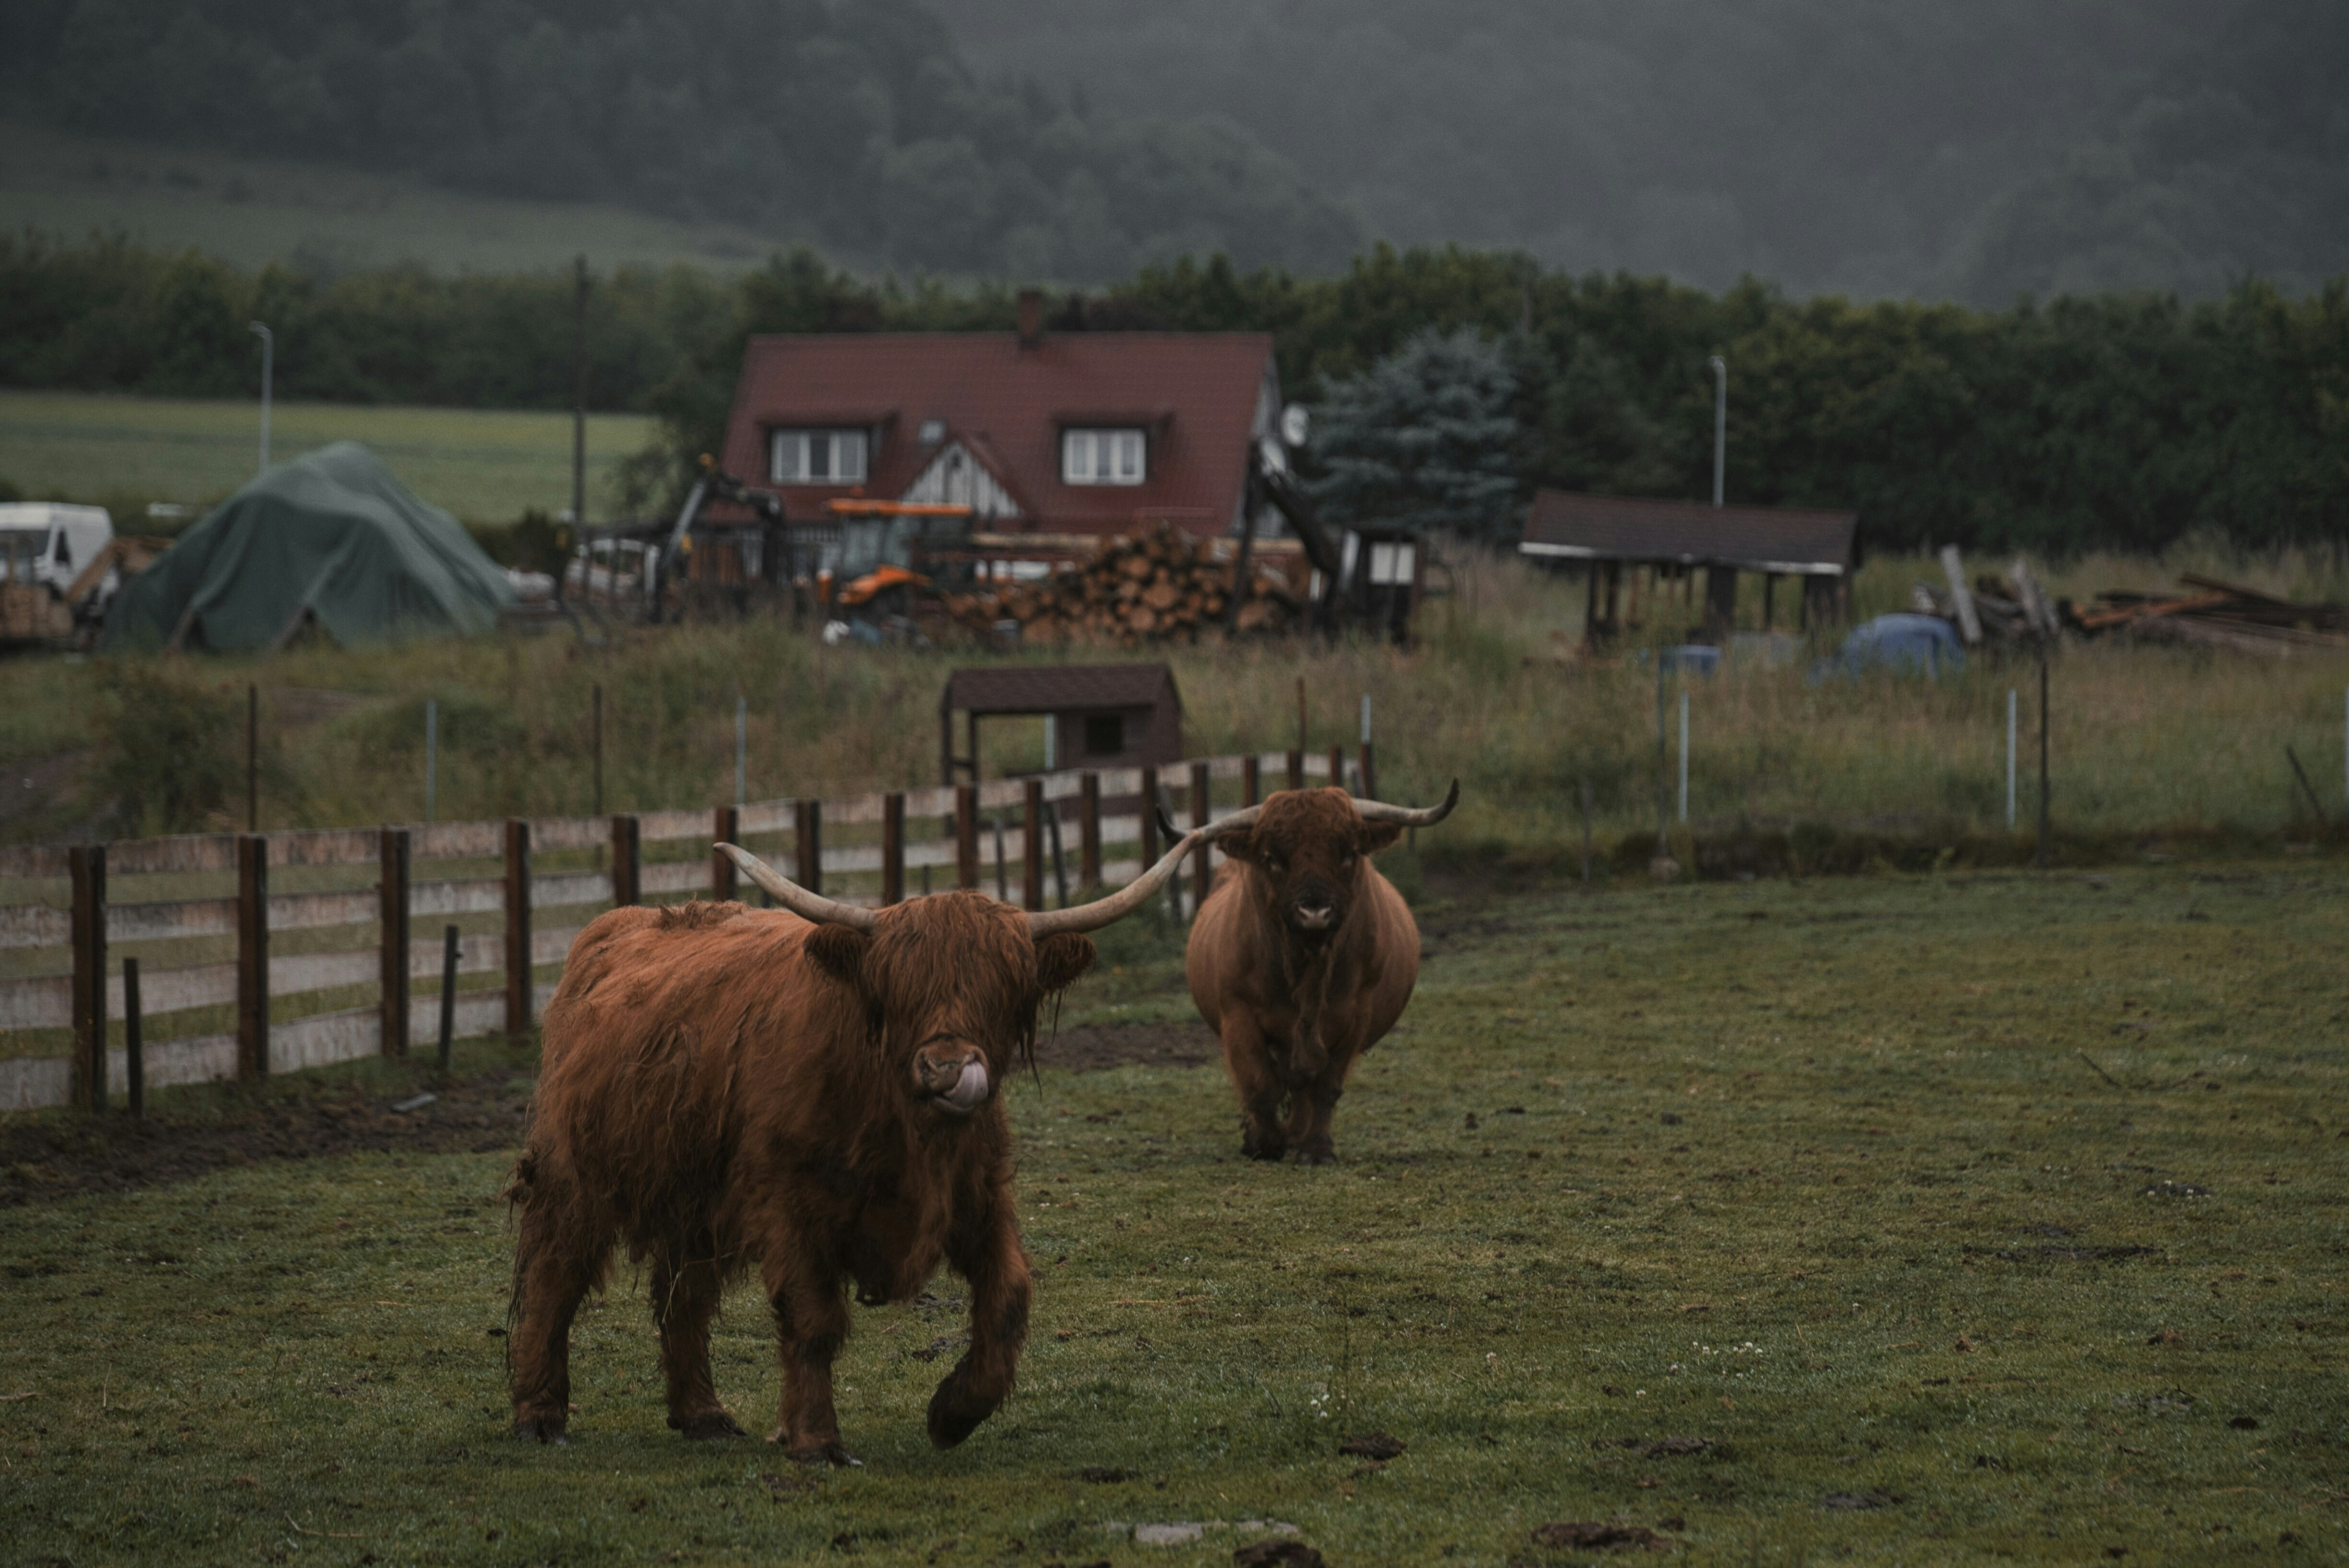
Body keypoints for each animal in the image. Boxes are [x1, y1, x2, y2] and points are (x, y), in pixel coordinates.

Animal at [503, 831, 1202, 1462]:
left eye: (1002, 987)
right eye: (898, 989)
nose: (946, 1069)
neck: (905, 1129)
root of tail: (620, 925)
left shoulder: (979, 1194)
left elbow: (1007, 1298)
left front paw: (954, 1414)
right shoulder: (789, 1203)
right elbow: (813, 1321)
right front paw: (817, 1441)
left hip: (693, 1190)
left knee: (684, 1294)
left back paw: (703, 1414)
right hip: (574, 1174)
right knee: (556, 1279)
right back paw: (540, 1416)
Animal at [1182, 781, 1458, 1164]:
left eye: (1349, 853)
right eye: (1272, 857)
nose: (1315, 910)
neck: (1306, 971)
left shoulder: (1355, 1017)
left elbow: (1326, 1087)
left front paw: (1316, 1148)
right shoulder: (1237, 1015)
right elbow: (1258, 1083)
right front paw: (1265, 1143)